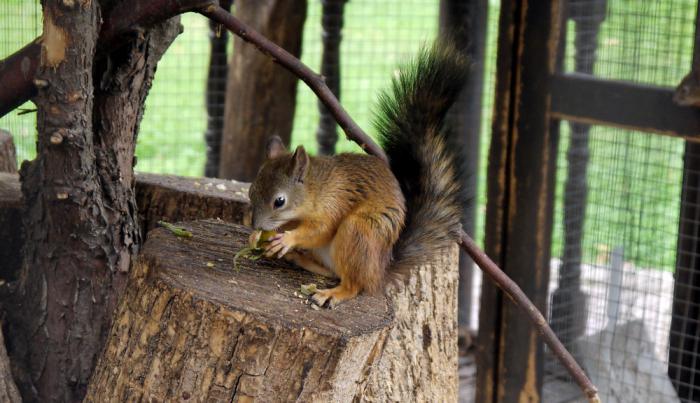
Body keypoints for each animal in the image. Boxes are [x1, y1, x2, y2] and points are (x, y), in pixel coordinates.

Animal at [249, 41, 468, 310]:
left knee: (354, 284)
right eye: (250, 191)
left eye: (279, 201)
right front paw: (257, 237)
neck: (316, 188)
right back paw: (298, 259)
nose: (256, 225)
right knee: (332, 272)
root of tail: (379, 274)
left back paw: (332, 293)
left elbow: (320, 230)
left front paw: (287, 240)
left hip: (358, 232)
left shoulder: (335, 202)